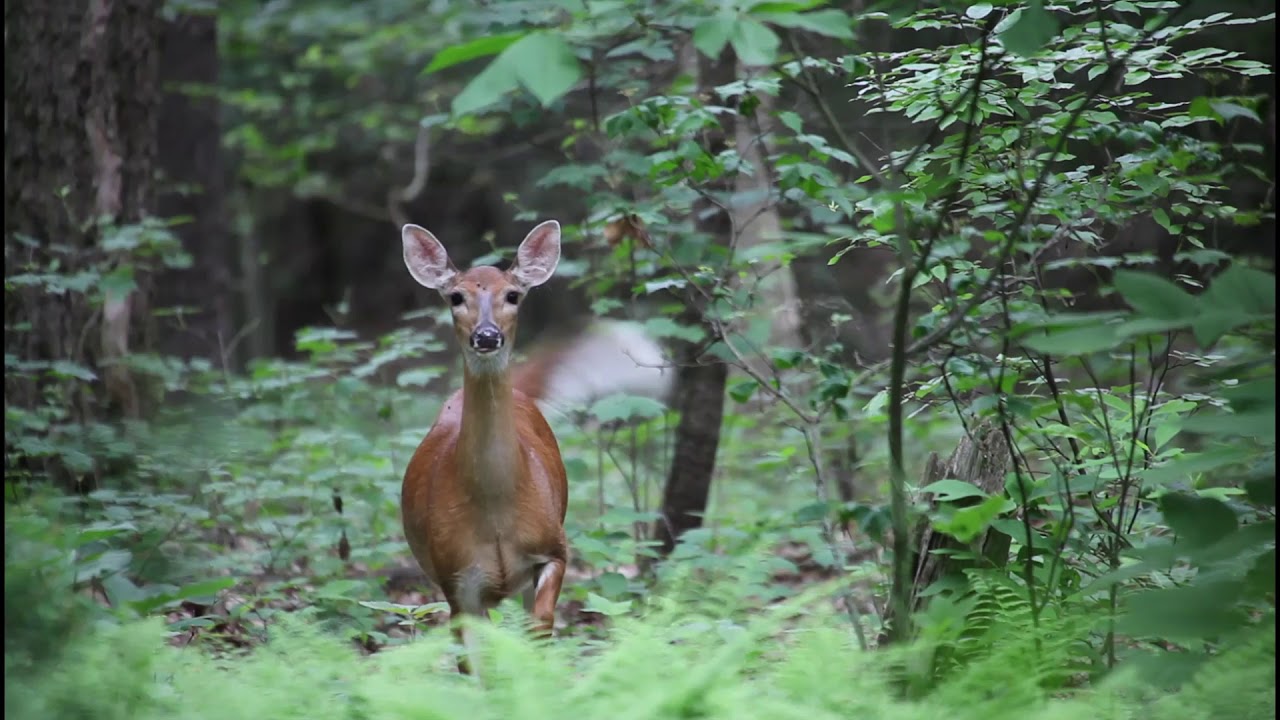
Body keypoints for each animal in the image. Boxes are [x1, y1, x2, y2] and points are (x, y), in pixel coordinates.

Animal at [398, 219, 670, 674]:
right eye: (456, 296)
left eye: (513, 294)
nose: (486, 336)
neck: (495, 513)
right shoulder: (457, 579)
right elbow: (475, 663)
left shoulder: (554, 549)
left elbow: (539, 628)